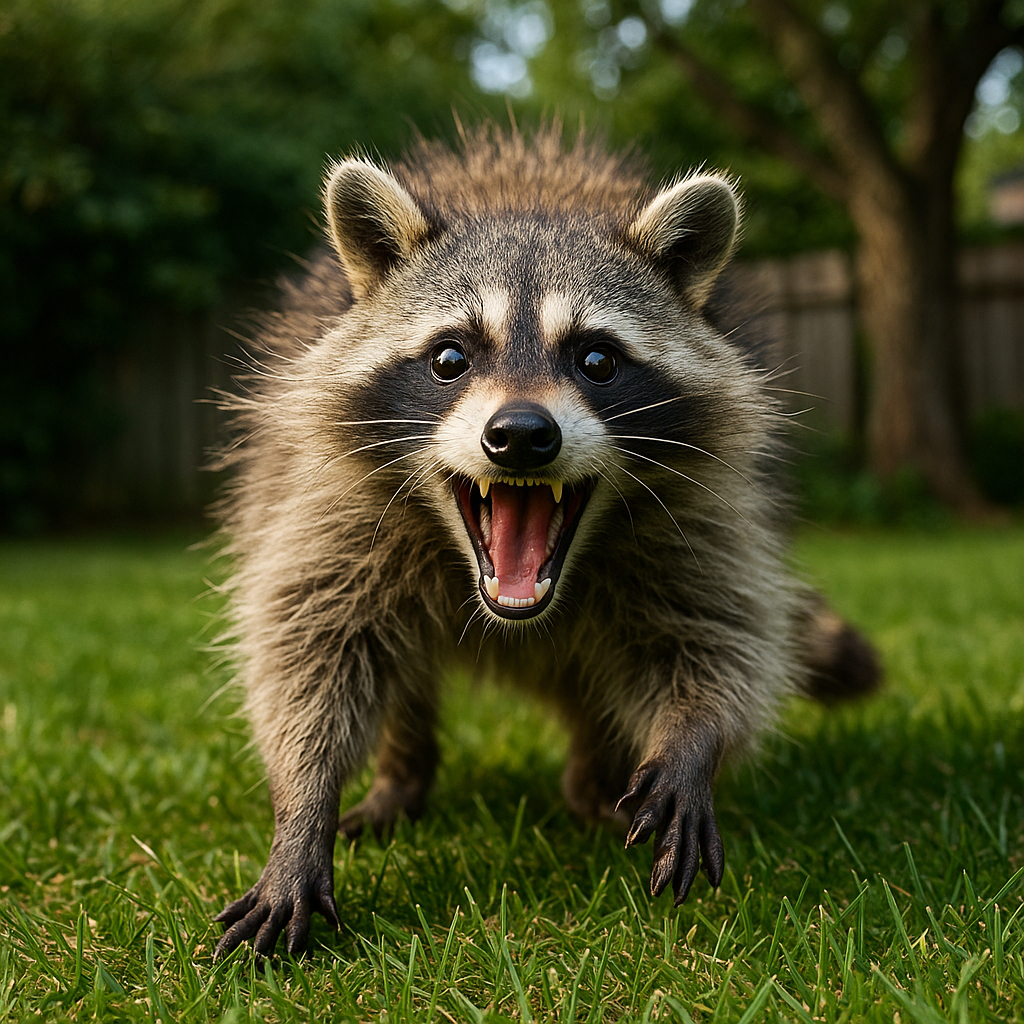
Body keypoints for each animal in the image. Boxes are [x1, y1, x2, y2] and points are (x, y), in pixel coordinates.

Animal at [212, 127, 880, 958]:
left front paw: (693, 741)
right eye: (450, 358)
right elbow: (309, 649)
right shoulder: (325, 502)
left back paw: (594, 775)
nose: (522, 435)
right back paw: (403, 771)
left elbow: (718, 634)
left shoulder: (704, 511)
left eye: (596, 359)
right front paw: (303, 808)